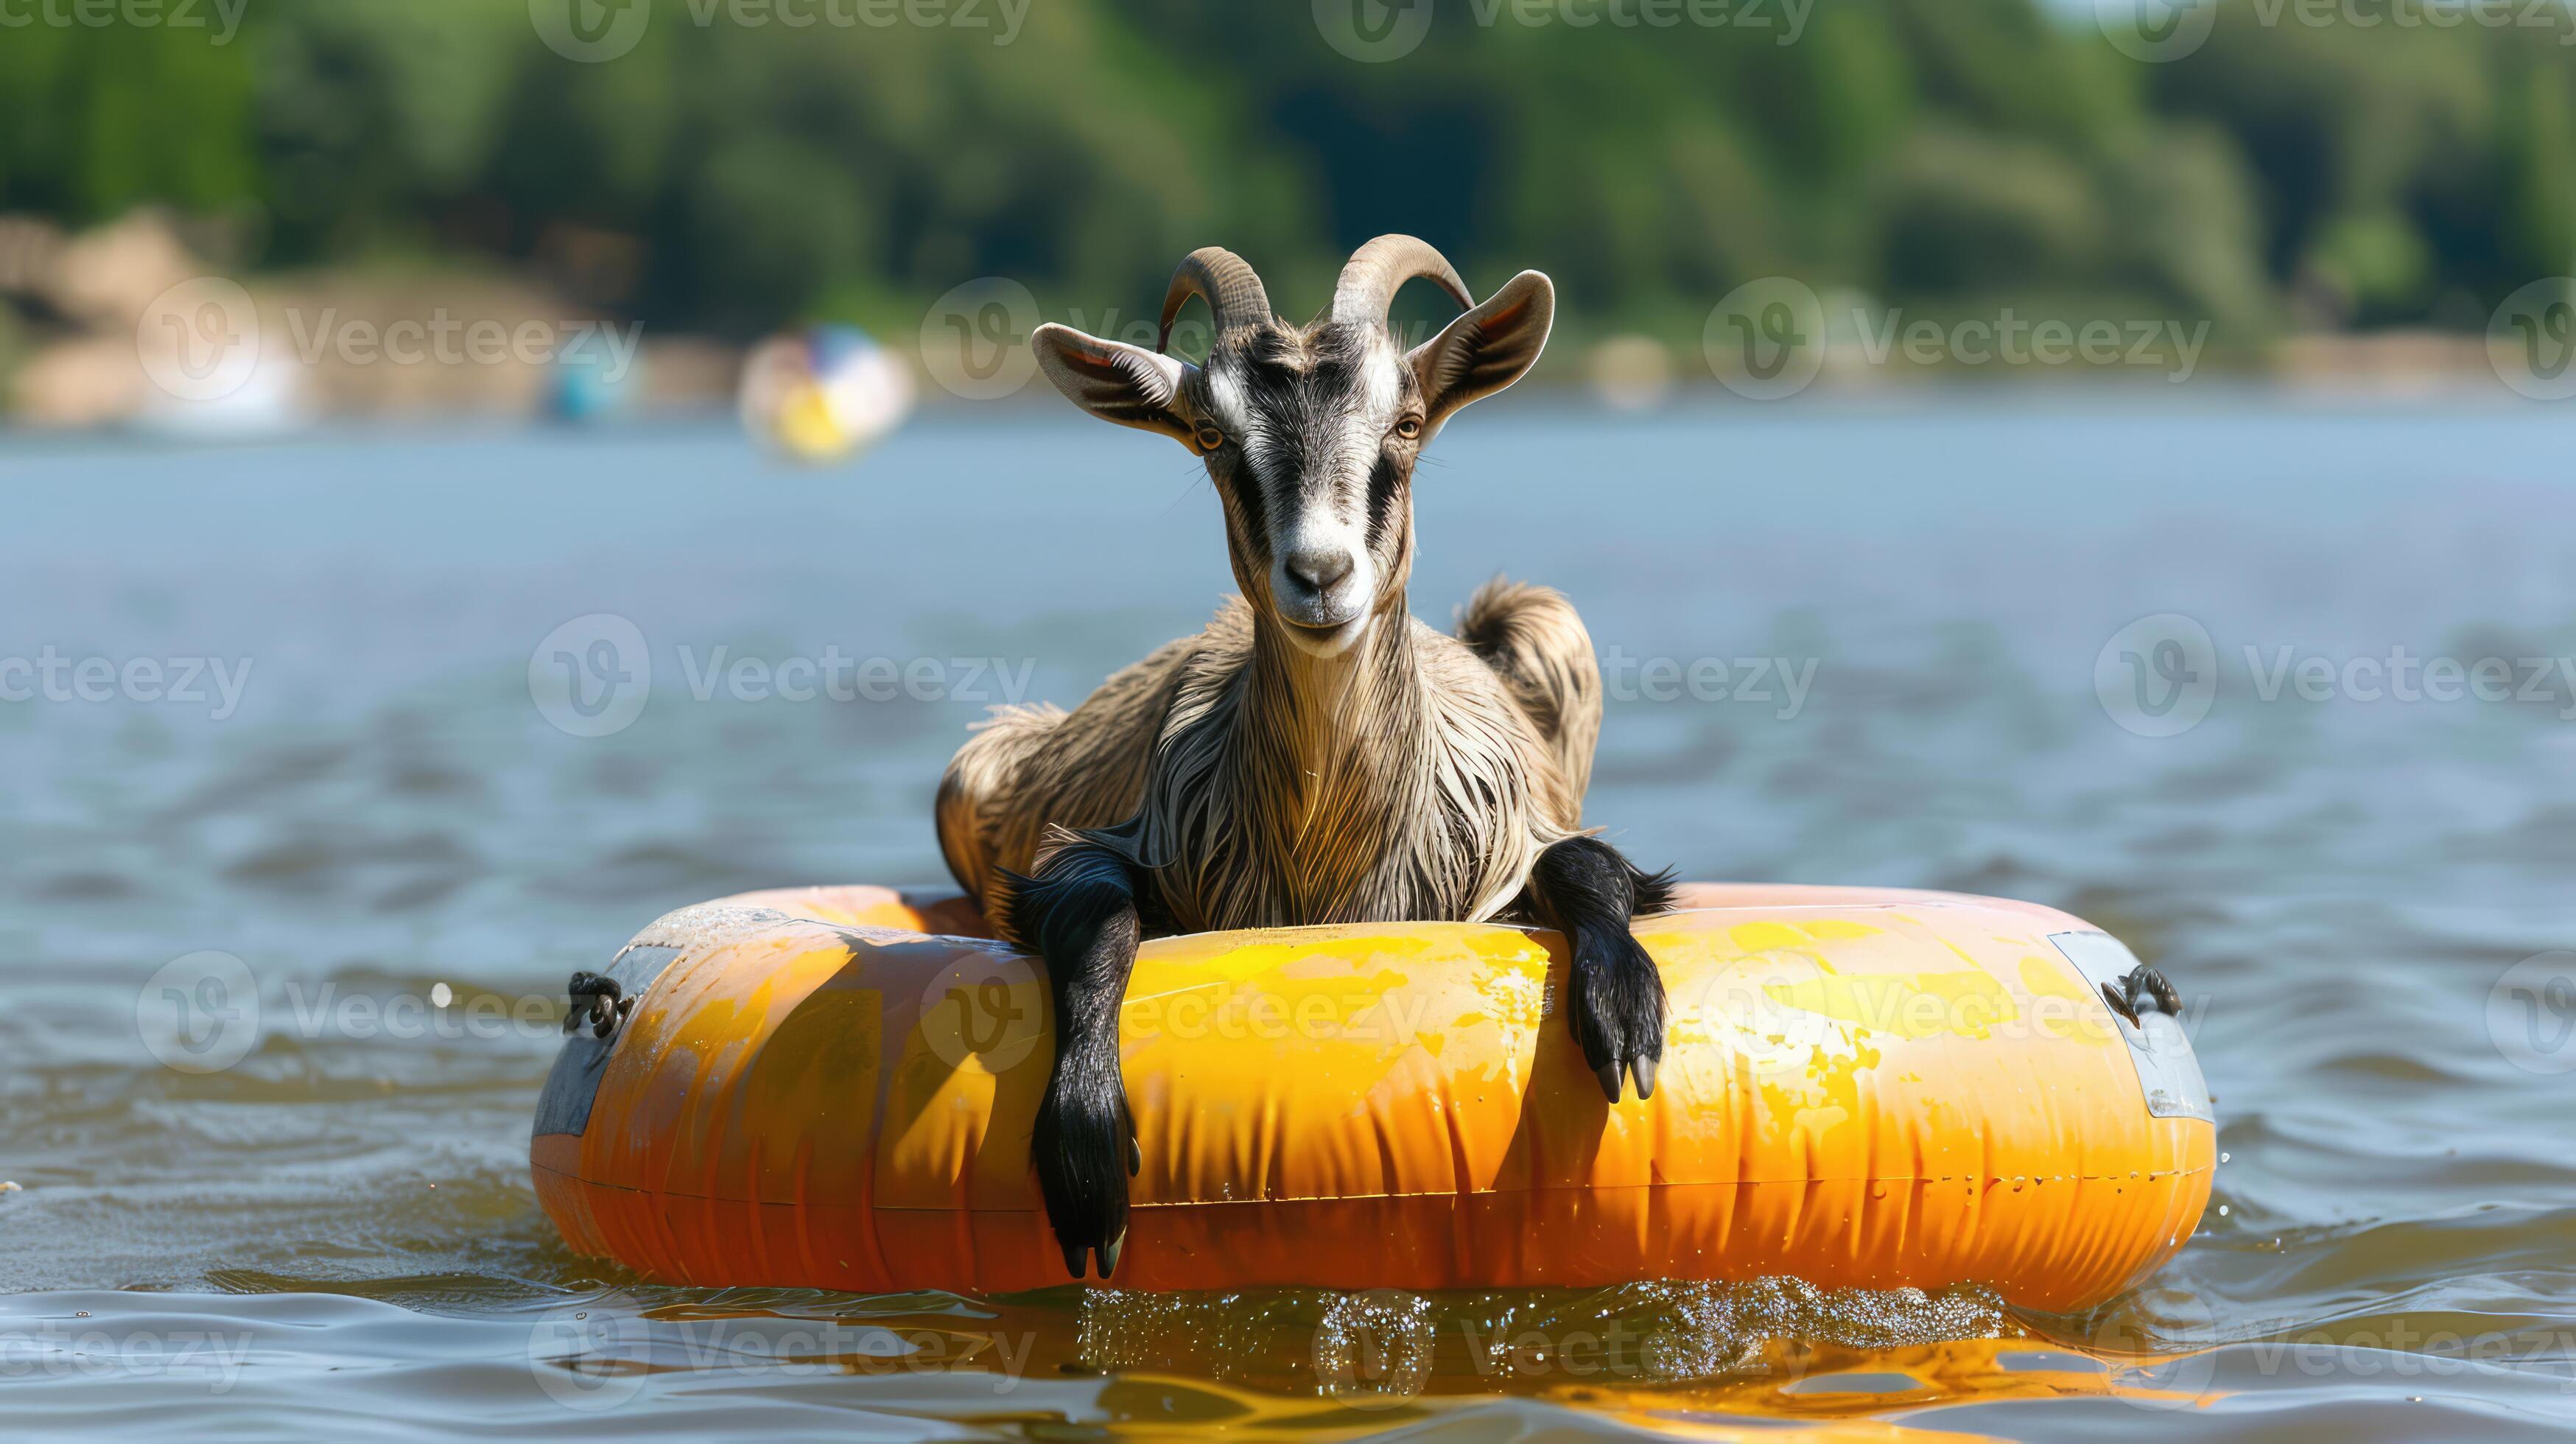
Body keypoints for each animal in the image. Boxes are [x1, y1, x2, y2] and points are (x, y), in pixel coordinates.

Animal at [935, 237, 1675, 1279]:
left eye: (1406, 422)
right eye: (1210, 435)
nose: (1320, 577)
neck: (1332, 864)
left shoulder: (1506, 833)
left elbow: (1587, 862)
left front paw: (1622, 1012)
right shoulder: (1124, 836)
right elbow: (1093, 916)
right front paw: (1083, 1151)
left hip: (1543, 625)